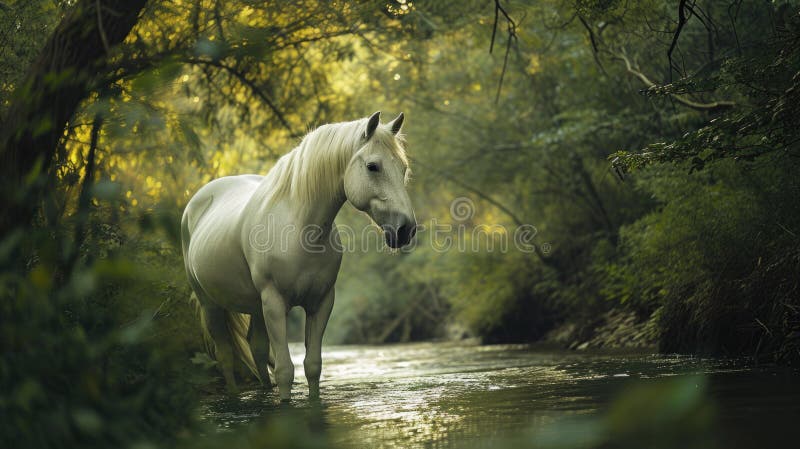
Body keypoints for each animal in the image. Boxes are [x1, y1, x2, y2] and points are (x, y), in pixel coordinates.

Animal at [181, 111, 416, 401]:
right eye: (373, 166)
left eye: (403, 168)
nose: (406, 229)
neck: (300, 230)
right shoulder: (274, 303)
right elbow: (285, 370)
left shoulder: (321, 302)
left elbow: (312, 366)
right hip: (211, 306)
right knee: (225, 354)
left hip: (256, 308)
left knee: (257, 348)